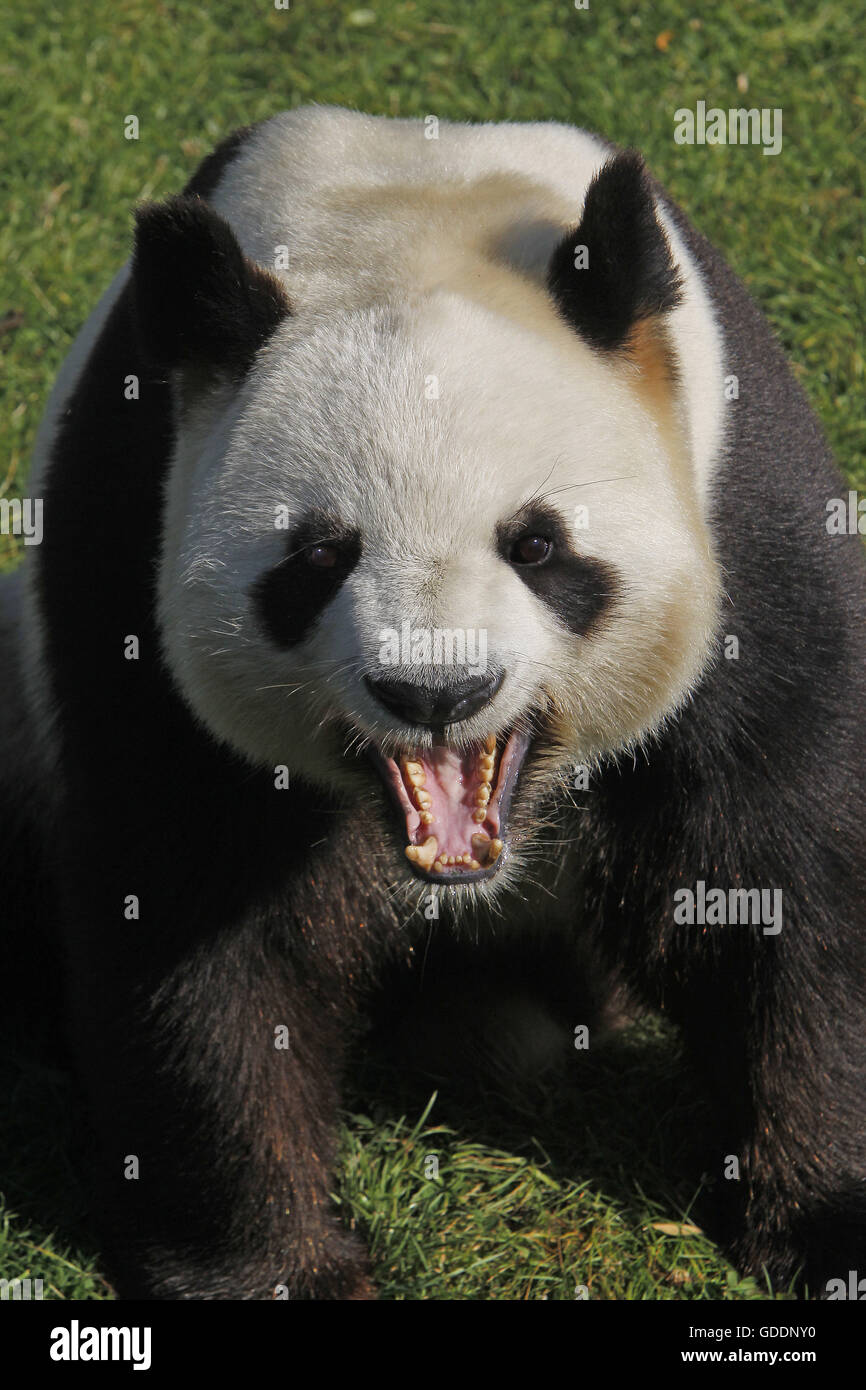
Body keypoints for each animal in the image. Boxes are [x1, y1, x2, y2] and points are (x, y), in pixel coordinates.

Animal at [3, 105, 865, 1300]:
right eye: (318, 557)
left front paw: (824, 1219)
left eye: (537, 545)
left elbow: (771, 862)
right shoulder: (133, 528)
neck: (410, 216)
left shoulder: (737, 509)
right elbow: (194, 909)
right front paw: (269, 1267)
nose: (436, 690)